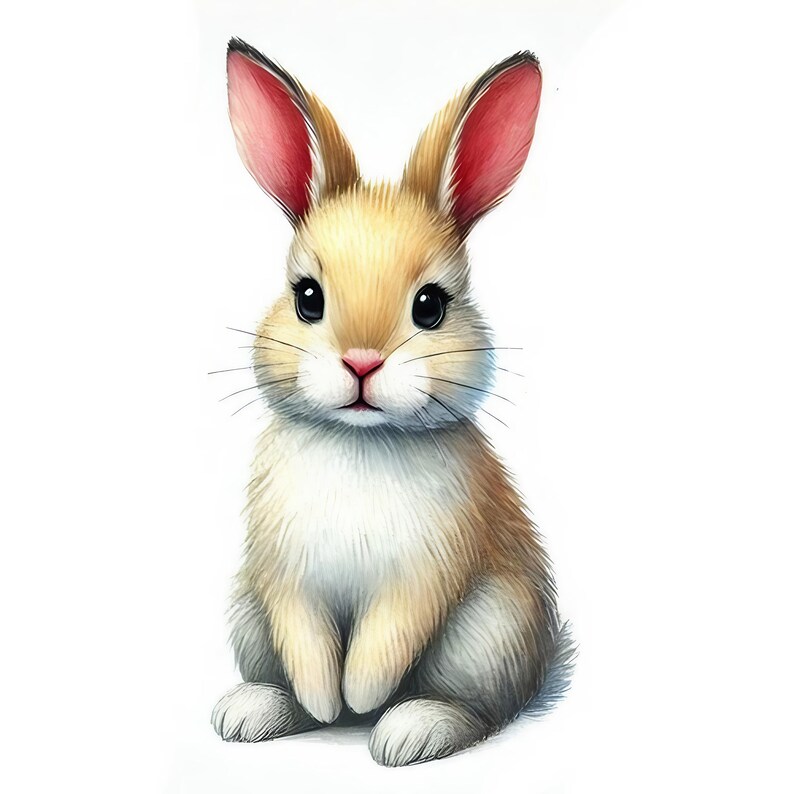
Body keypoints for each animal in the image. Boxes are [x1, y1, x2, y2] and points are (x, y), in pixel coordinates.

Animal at [211, 37, 574, 767]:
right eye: (307, 297)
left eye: (431, 306)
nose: (361, 362)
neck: (361, 441)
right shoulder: (285, 581)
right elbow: (309, 649)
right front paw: (331, 704)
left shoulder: (425, 579)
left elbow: (385, 642)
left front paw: (361, 698)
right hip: (247, 614)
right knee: (282, 679)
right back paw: (251, 713)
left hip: (487, 634)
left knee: (479, 710)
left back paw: (407, 731)